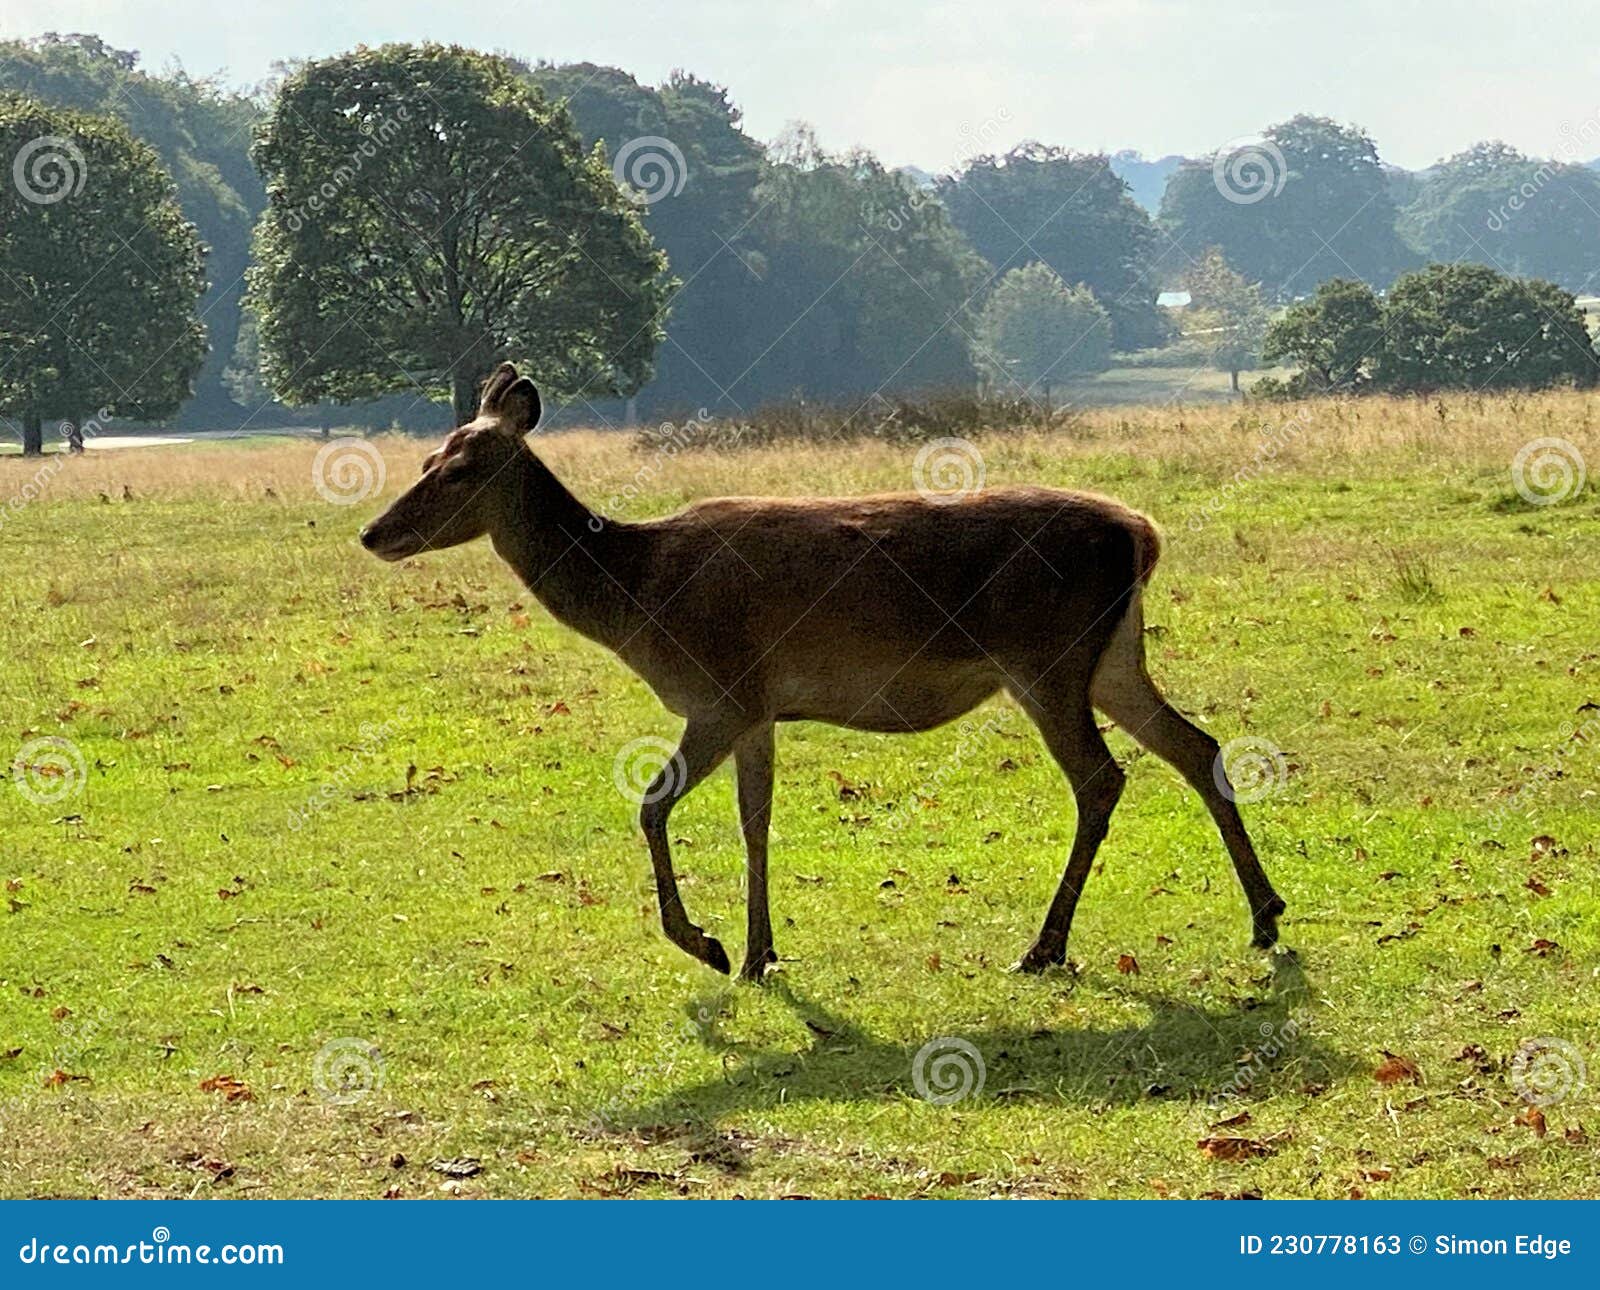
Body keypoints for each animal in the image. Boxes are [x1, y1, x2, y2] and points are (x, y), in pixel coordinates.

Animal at [360, 364, 1285, 981]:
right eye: (428, 458)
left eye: (461, 468)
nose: (374, 533)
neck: (638, 596)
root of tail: (1142, 532)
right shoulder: (760, 709)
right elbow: (756, 822)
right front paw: (760, 952)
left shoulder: (721, 689)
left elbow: (652, 805)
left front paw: (706, 945)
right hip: (1114, 658)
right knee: (1198, 746)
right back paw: (1267, 916)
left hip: (1047, 660)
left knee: (1102, 777)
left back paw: (1045, 945)